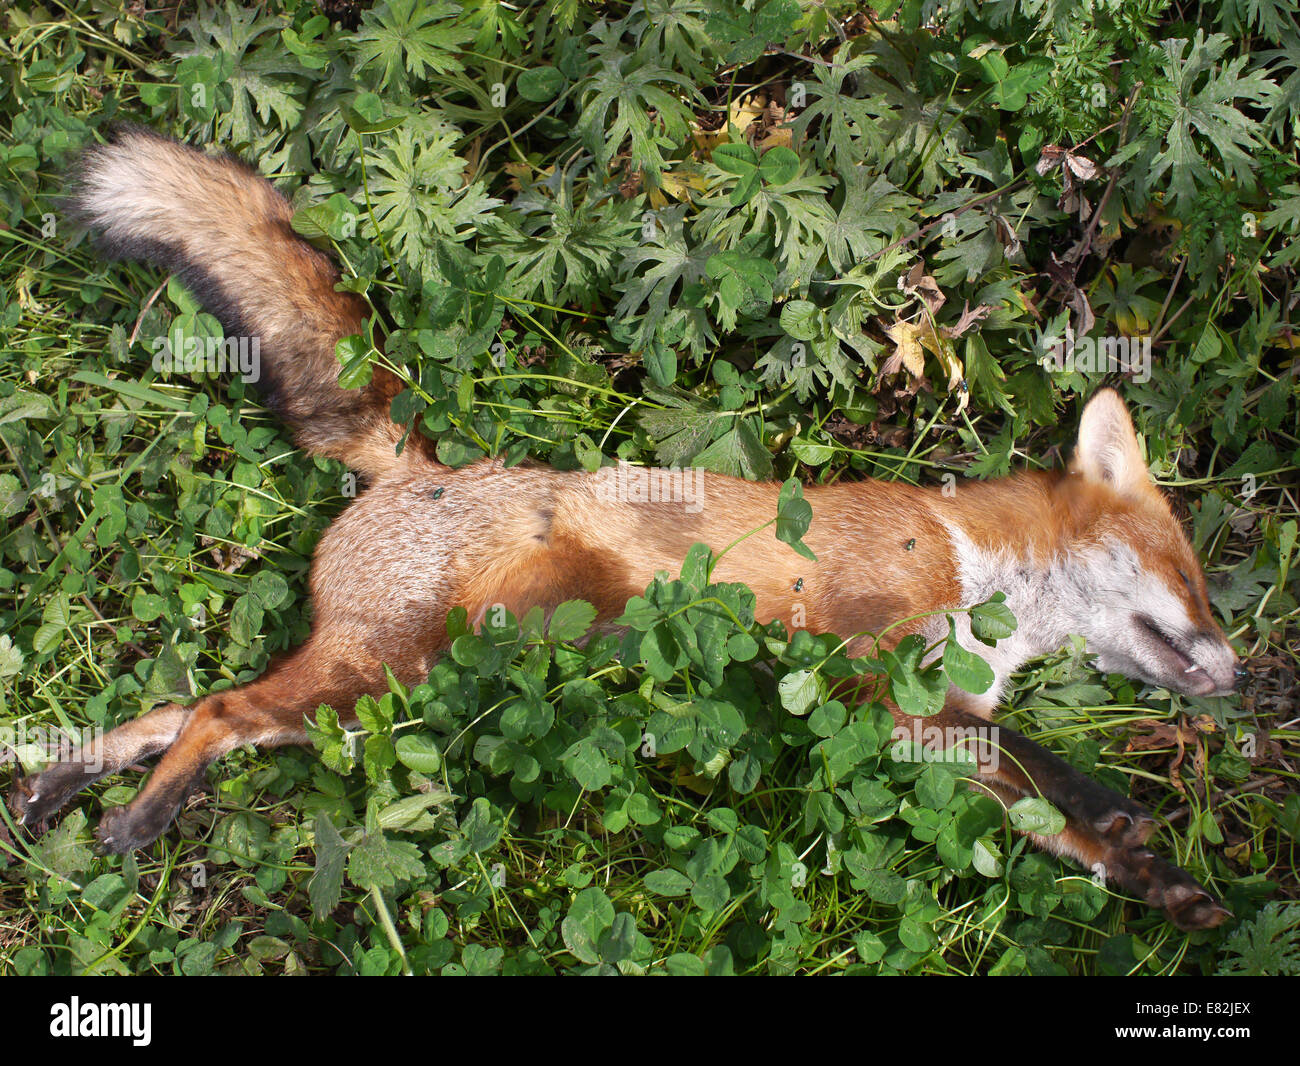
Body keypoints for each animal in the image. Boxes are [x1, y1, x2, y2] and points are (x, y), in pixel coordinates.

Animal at [9, 125, 1244, 932]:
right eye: (1189, 577)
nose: (1239, 673)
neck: (971, 566)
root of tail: (416, 463)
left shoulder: (923, 717)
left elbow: (1042, 804)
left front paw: (1161, 884)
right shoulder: (869, 664)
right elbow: (1043, 769)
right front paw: (1131, 825)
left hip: (375, 688)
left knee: (180, 709)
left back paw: (59, 787)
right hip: (380, 672)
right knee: (215, 711)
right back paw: (133, 822)